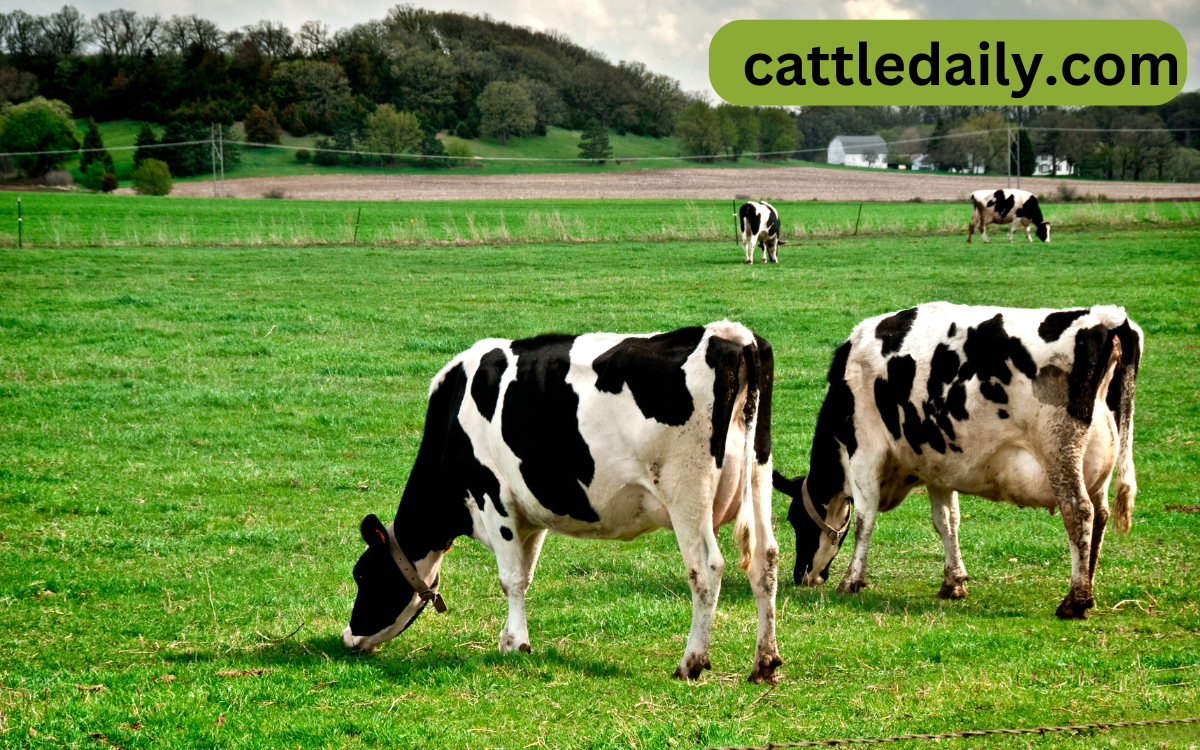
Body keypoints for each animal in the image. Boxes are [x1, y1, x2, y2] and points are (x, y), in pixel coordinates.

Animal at [342, 322, 783, 684]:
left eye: (363, 574)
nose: (348, 636)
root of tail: (732, 335)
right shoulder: (530, 511)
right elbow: (524, 573)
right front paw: (511, 637)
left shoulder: (492, 495)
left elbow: (509, 577)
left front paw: (515, 644)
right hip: (759, 474)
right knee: (765, 559)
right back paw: (764, 663)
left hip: (686, 491)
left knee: (706, 569)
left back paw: (691, 663)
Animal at [772, 302, 1141, 620]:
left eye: (795, 519)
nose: (802, 575)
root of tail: (1108, 318)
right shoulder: (939, 467)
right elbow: (947, 521)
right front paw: (953, 582)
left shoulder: (865, 452)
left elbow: (865, 518)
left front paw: (851, 580)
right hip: (1098, 463)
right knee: (1101, 516)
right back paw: (1089, 592)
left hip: (1059, 450)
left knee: (1079, 512)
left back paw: (1074, 601)